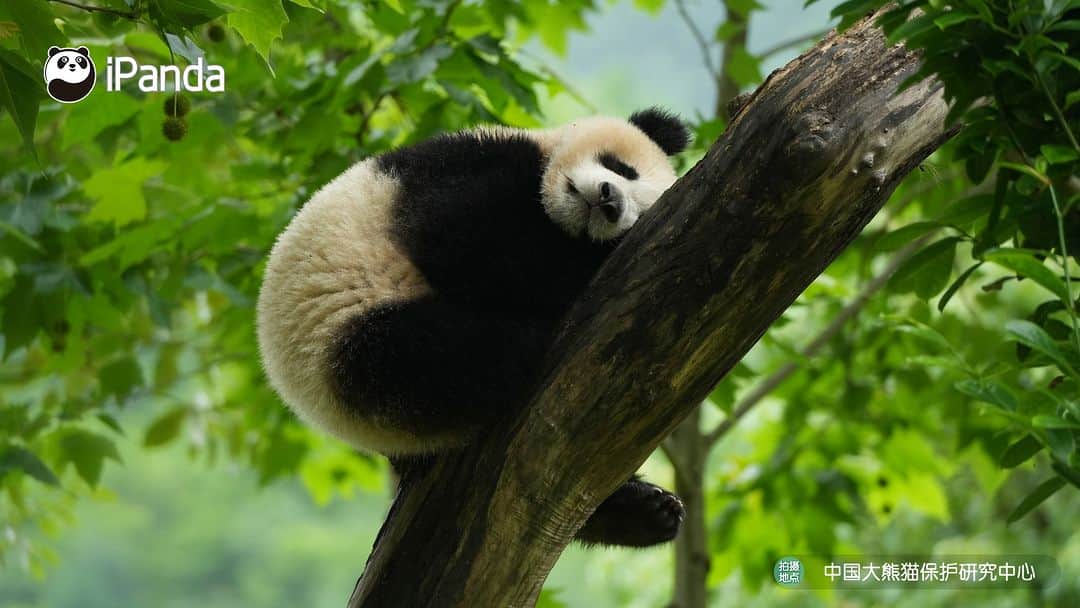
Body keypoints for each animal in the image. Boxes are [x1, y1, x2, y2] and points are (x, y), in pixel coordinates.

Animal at [256, 108, 691, 548]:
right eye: (623, 169)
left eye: (638, 214)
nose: (610, 202)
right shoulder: (458, 168)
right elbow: (466, 239)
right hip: (367, 343)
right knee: (474, 355)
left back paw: (645, 512)